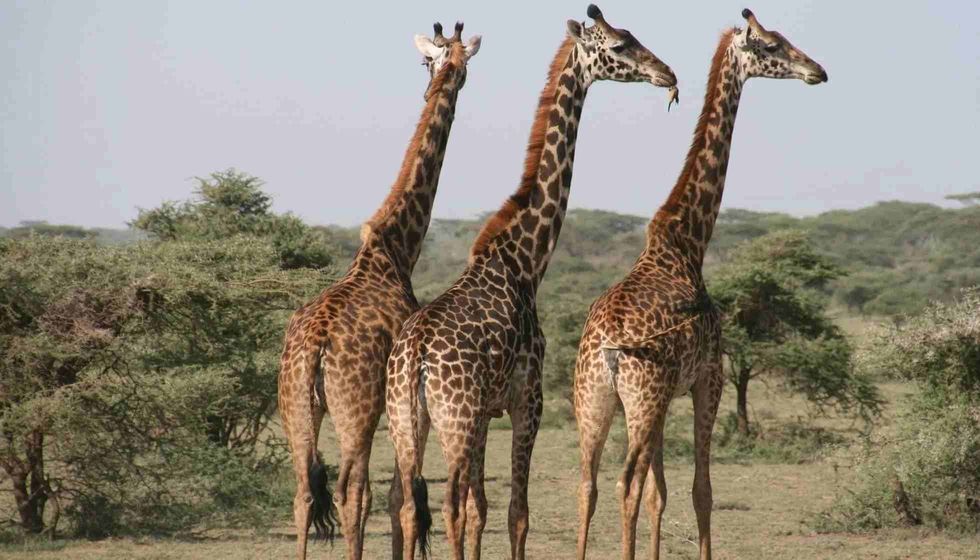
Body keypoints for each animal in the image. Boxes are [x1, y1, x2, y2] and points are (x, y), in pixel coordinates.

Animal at [277, 22, 481, 560]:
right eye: (451, 63)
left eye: (434, 61)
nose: (448, 80)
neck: (395, 249)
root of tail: (316, 346)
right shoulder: (398, 405)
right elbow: (397, 496)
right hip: (357, 410)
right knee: (353, 491)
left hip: (294, 407)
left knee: (303, 492)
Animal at [385, 6, 677, 560]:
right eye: (620, 45)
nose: (667, 74)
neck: (525, 260)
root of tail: (413, 358)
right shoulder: (528, 399)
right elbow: (515, 513)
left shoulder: (487, 413)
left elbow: (482, 510)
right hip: (454, 421)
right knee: (447, 506)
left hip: (408, 423)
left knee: (410, 506)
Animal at [572, 9, 828, 560]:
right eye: (772, 45)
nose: (817, 71)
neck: (688, 242)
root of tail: (607, 349)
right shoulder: (708, 378)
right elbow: (700, 489)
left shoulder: (670, 393)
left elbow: (661, 494)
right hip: (640, 399)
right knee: (625, 484)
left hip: (594, 401)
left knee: (588, 485)